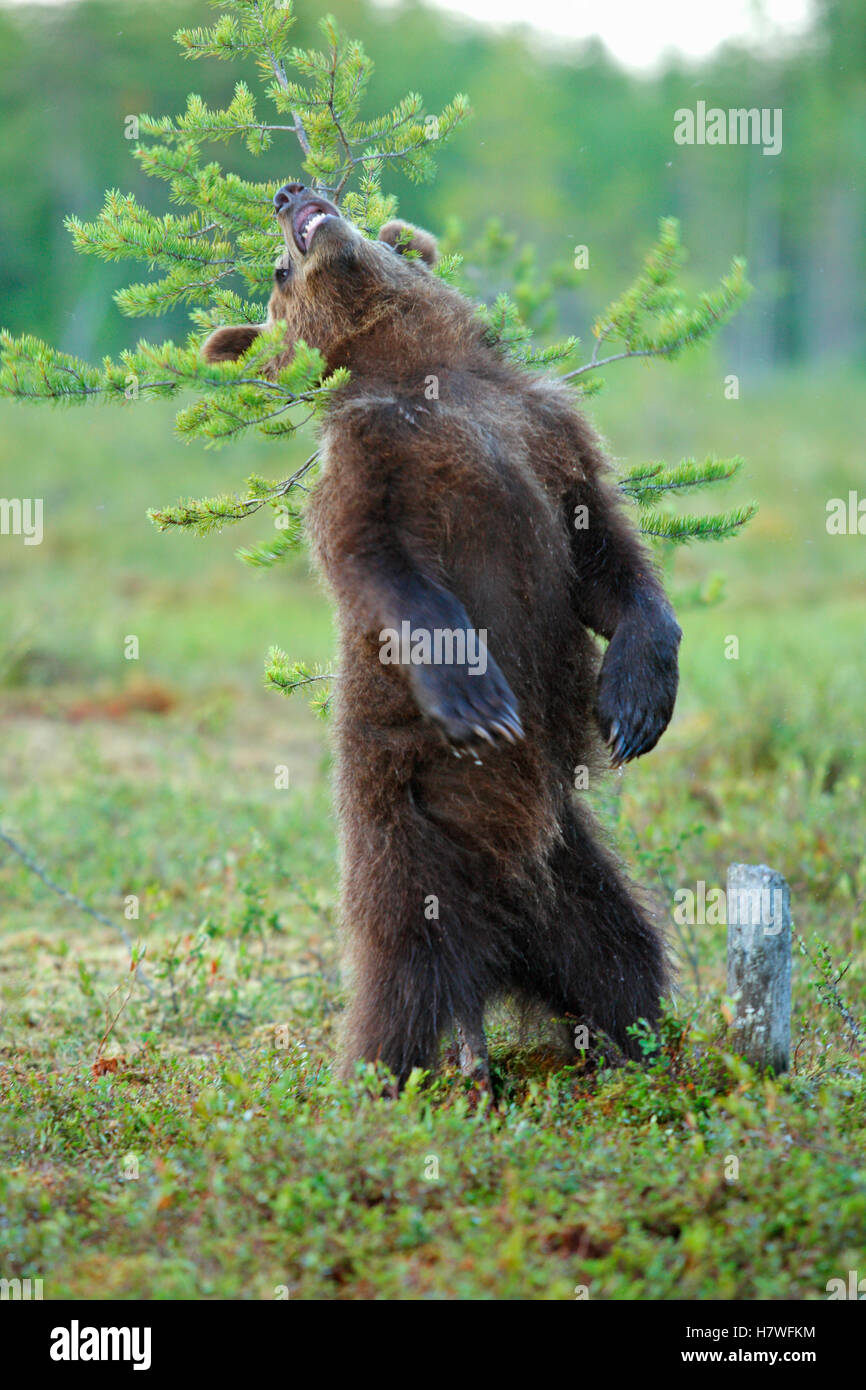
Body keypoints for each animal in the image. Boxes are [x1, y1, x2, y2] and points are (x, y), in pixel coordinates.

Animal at [203, 182, 682, 1089]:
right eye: (278, 272)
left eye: (332, 202)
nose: (291, 192)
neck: (429, 371)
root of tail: (499, 952)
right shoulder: (380, 459)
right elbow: (378, 563)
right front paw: (475, 694)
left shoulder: (546, 431)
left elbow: (607, 555)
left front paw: (638, 701)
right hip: (406, 851)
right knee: (401, 983)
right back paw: (389, 1077)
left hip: (571, 876)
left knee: (623, 959)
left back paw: (650, 1052)